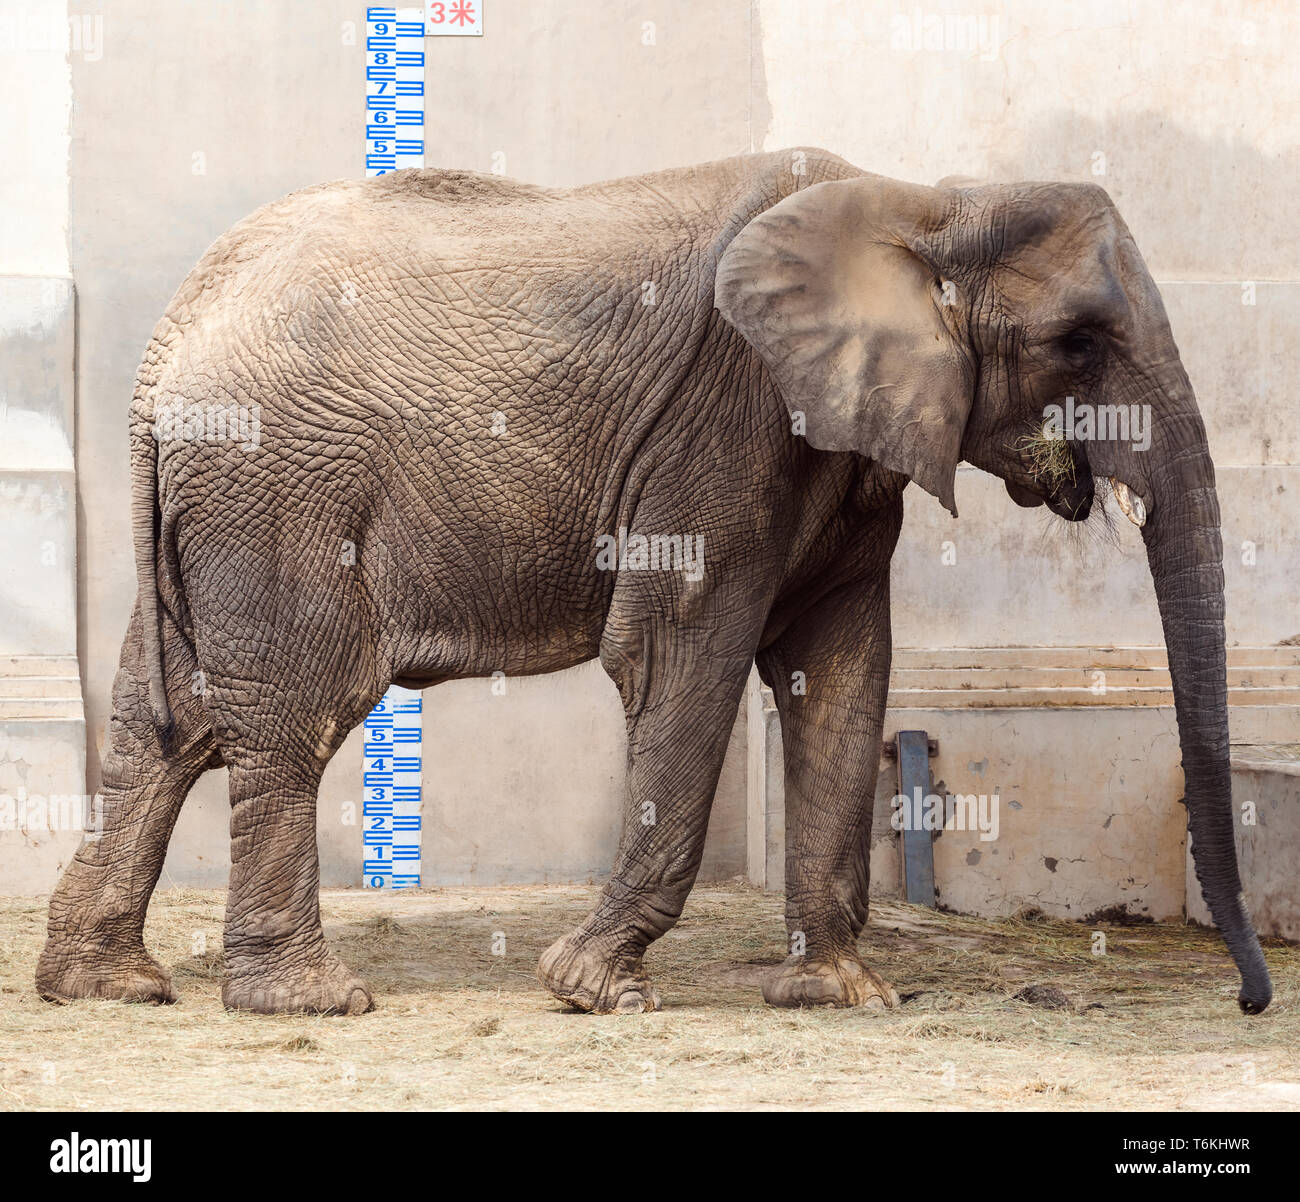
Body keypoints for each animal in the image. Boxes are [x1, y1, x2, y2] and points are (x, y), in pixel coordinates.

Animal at [36, 148, 1271, 1017]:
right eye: (1078, 344)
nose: (1253, 1000)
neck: (927, 201)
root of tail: (164, 348)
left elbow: (841, 672)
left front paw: (836, 995)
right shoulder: (725, 423)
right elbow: (681, 655)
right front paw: (592, 988)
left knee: (165, 725)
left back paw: (109, 986)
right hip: (279, 494)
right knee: (287, 722)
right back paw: (310, 1001)